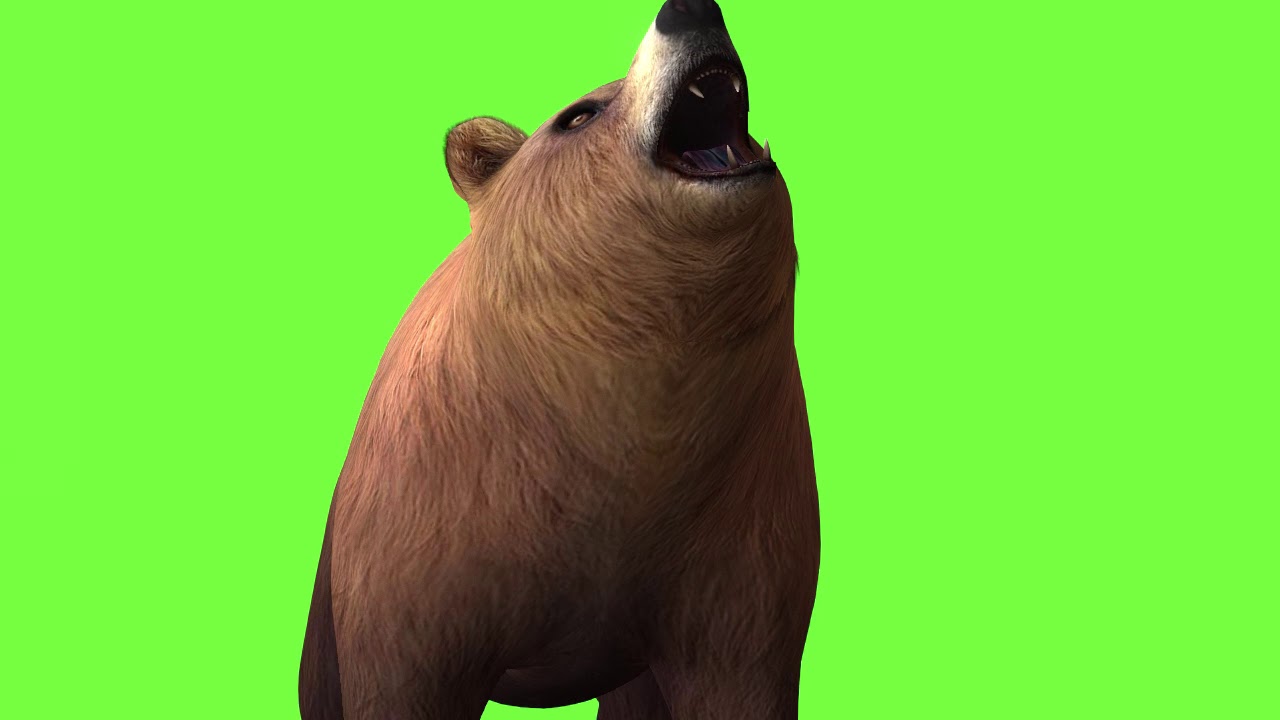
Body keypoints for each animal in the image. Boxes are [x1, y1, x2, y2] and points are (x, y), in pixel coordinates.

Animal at [299, 1, 819, 719]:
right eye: (578, 114)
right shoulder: (426, 534)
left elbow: (740, 673)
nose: (690, 10)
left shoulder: (740, 539)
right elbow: (404, 675)